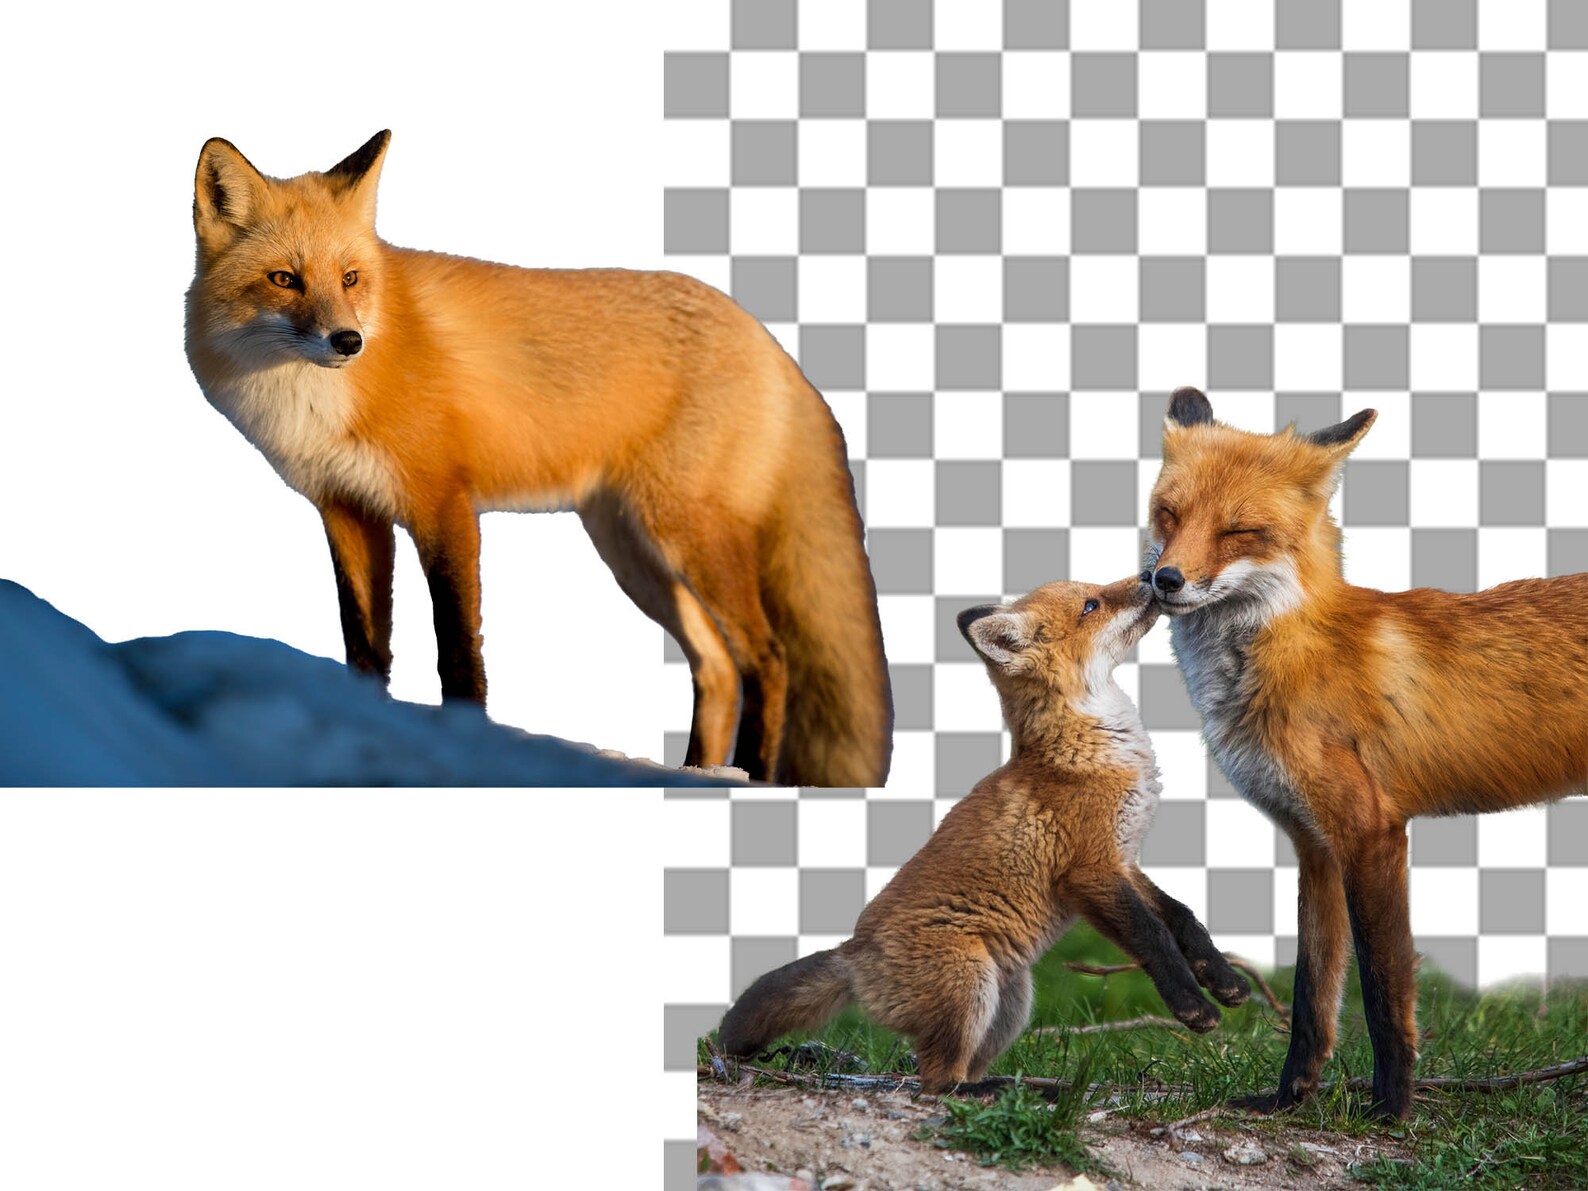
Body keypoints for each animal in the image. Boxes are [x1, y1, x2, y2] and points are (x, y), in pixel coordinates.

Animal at [183, 131, 891, 787]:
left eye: (351, 278)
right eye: (284, 279)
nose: (348, 341)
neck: (317, 402)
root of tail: (765, 336)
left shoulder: (444, 506)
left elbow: (457, 648)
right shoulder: (349, 511)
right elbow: (364, 645)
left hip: (688, 537)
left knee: (768, 659)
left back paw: (753, 776)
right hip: (634, 555)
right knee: (716, 668)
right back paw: (698, 774)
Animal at [716, 577, 1252, 1092]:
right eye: (1091, 605)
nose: (1152, 575)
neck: (1091, 750)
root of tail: (853, 954)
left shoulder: (1123, 858)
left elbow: (1183, 917)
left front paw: (1224, 979)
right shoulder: (1089, 871)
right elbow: (1153, 935)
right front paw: (1193, 1007)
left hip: (1011, 999)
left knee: (958, 1069)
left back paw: (1020, 1090)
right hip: (970, 982)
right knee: (935, 1083)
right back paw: (1002, 1094)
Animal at [1144, 388, 1588, 1120]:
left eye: (1239, 530)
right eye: (1169, 514)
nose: (1163, 579)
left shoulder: (1371, 832)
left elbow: (1383, 990)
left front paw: (1392, 1109)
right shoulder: (1314, 844)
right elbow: (1312, 996)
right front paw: (1288, 1099)